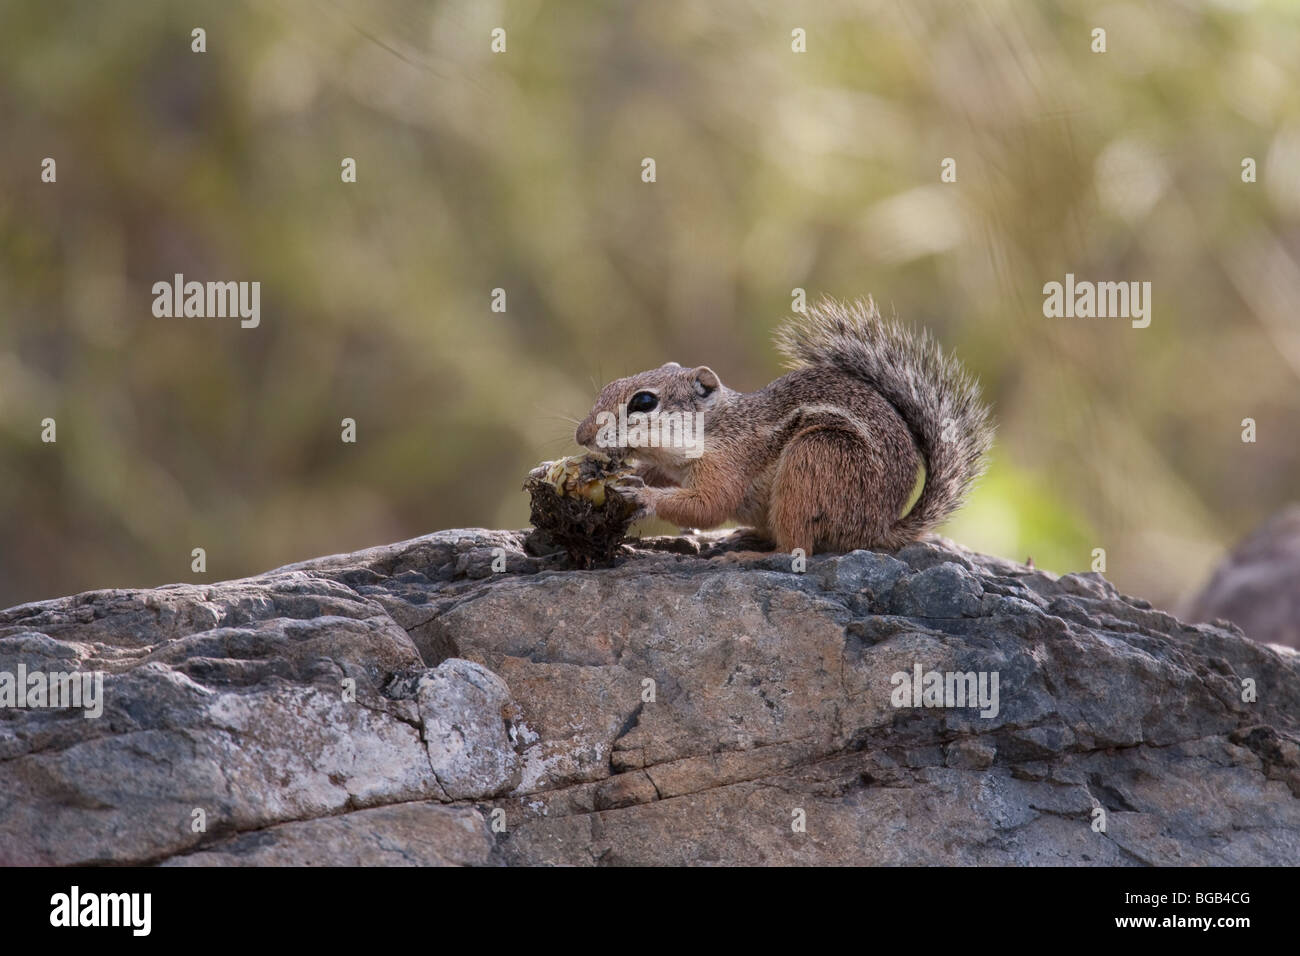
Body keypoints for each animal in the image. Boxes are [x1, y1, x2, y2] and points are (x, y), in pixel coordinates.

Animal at [573, 296, 994, 554]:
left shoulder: (728, 462)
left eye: (643, 402)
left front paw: (641, 495)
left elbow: (709, 506)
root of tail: (876, 529)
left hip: (816, 456)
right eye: (609, 387)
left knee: (797, 549)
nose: (581, 436)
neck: (714, 427)